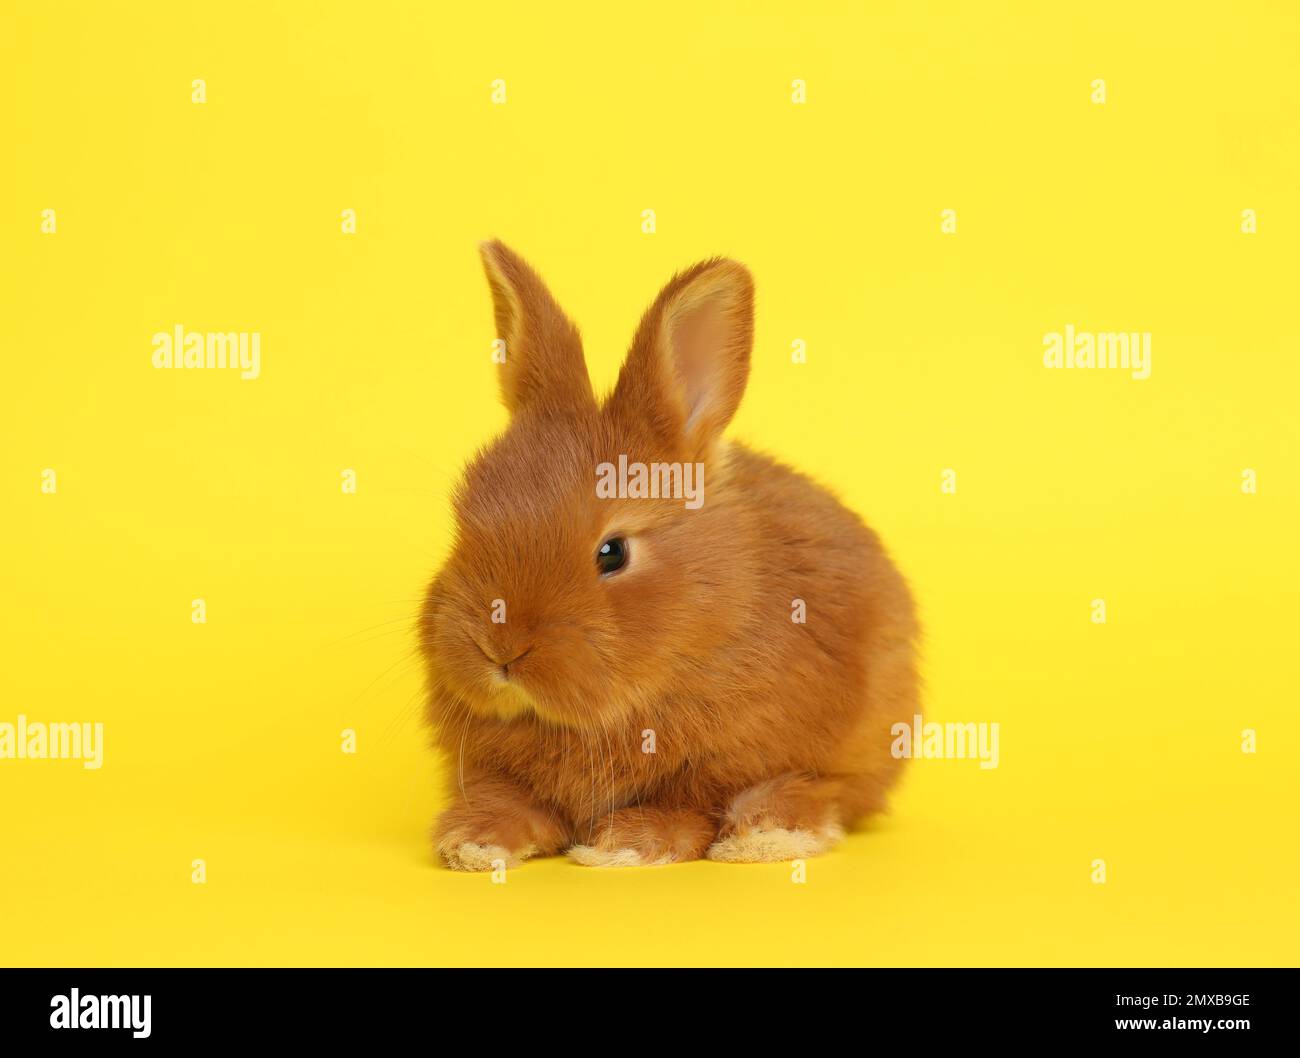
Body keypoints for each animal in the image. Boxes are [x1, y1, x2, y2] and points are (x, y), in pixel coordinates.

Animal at [420, 241, 919, 869]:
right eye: (464, 518)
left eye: (612, 552)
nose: (499, 650)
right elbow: (506, 798)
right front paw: (476, 841)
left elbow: (689, 803)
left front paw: (628, 845)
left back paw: (767, 833)